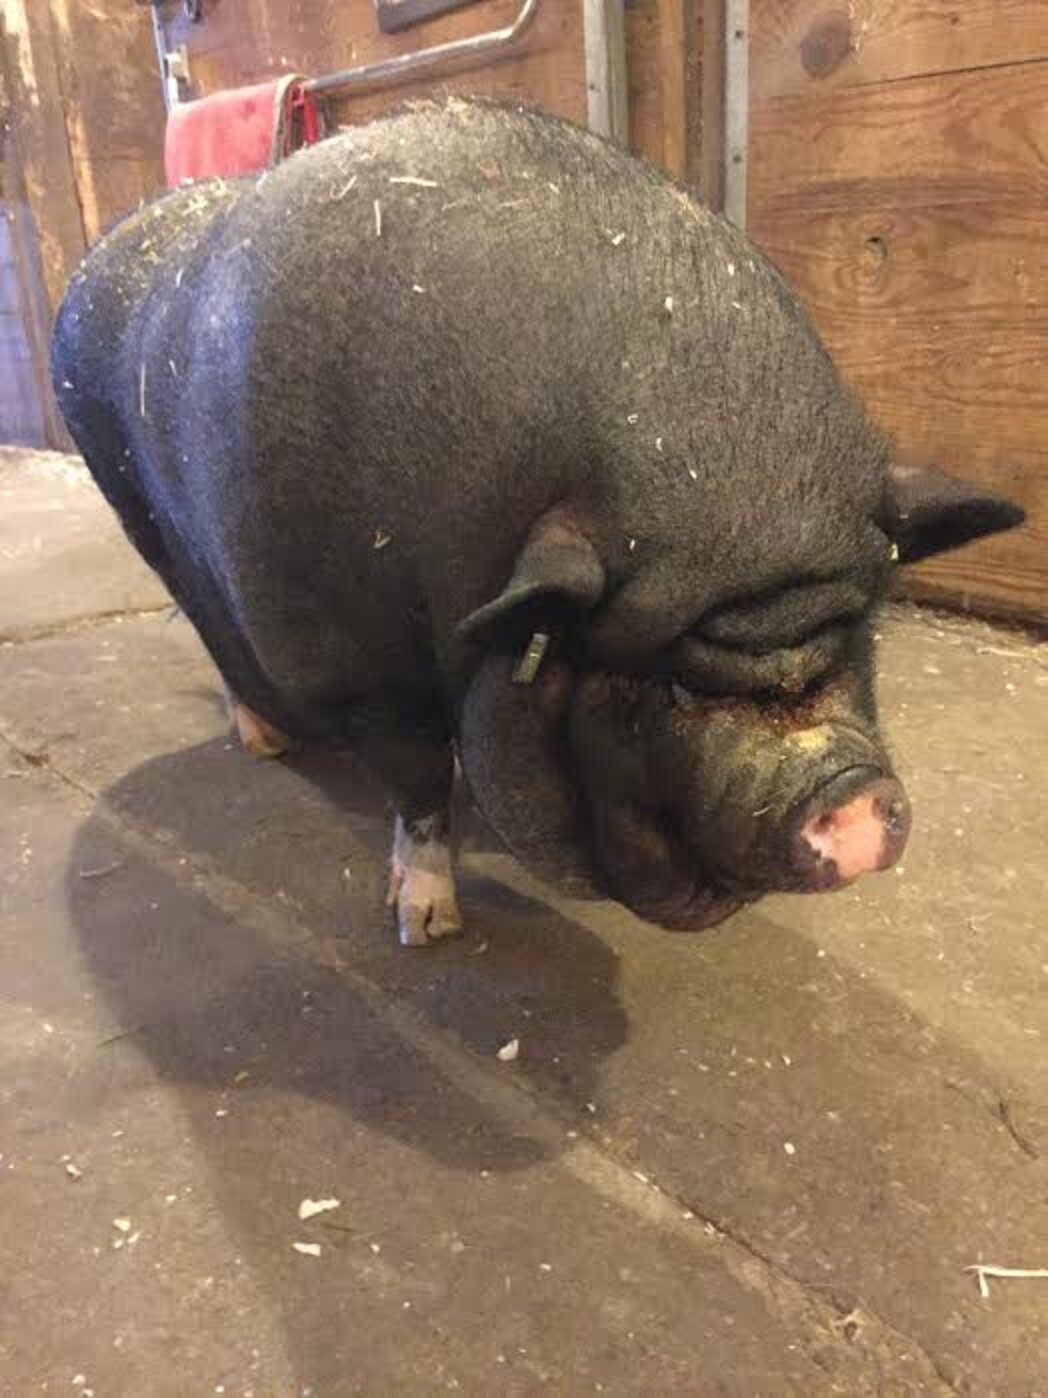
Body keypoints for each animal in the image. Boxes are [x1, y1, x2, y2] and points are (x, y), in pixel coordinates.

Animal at [51, 98, 1024, 945]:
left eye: (858, 631)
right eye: (665, 683)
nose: (851, 802)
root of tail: (101, 256)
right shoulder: (368, 669)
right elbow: (415, 780)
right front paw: (426, 926)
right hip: (131, 507)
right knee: (203, 622)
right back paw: (264, 744)